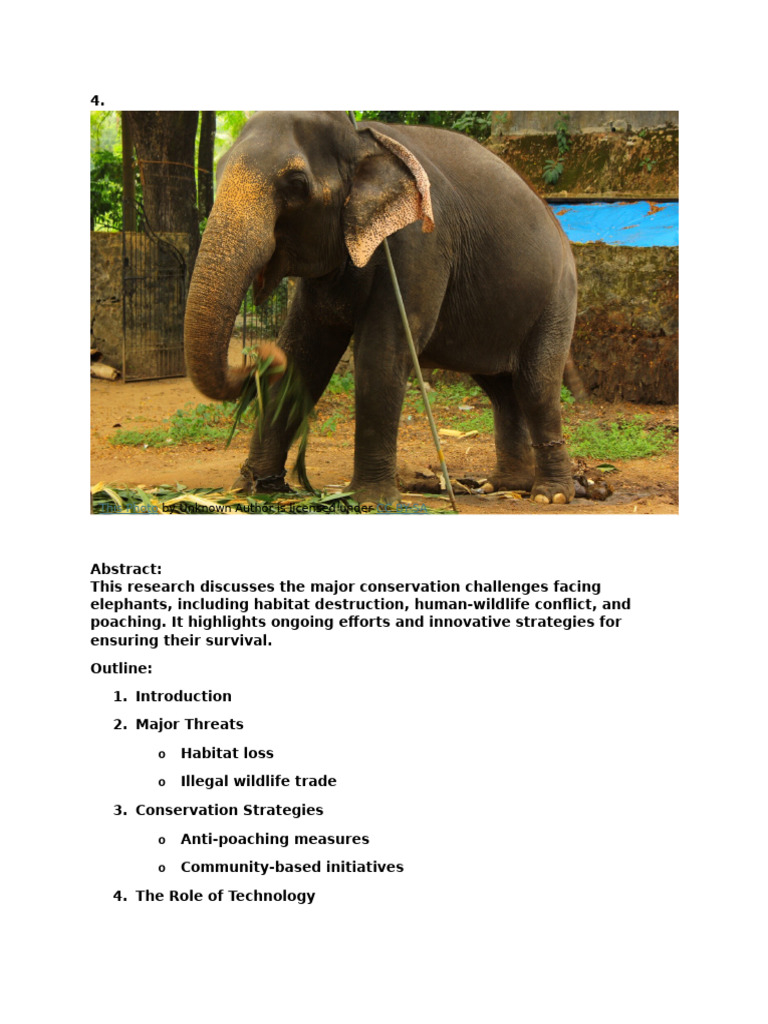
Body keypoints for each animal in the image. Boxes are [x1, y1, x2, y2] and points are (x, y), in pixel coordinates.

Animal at [184, 111, 577, 504]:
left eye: (296, 184)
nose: (262, 356)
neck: (361, 141)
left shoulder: (418, 242)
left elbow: (383, 351)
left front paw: (367, 501)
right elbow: (305, 354)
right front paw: (253, 488)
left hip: (559, 298)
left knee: (536, 385)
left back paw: (550, 495)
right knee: (500, 389)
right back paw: (506, 485)